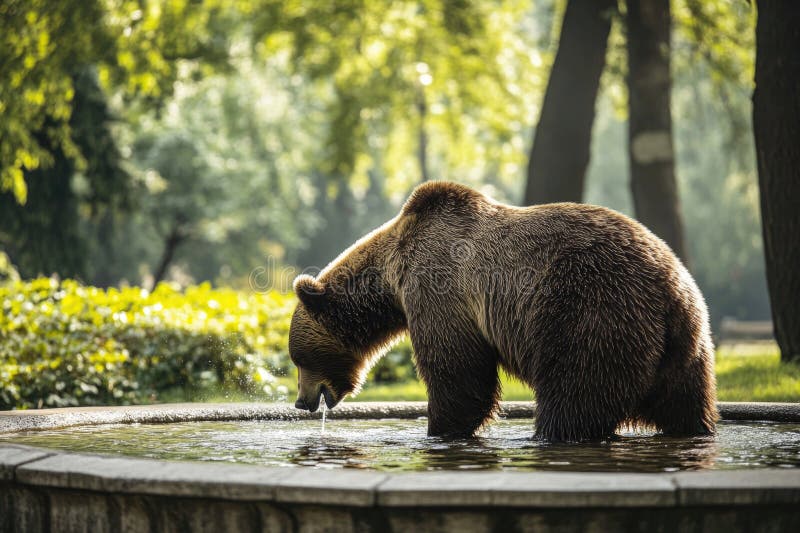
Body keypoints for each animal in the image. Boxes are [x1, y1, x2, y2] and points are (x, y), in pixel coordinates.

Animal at [289, 181, 718, 441]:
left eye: (299, 359)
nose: (301, 402)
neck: (391, 277)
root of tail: (672, 291)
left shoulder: (437, 287)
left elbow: (457, 371)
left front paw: (439, 428)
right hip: (685, 350)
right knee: (686, 404)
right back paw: (697, 428)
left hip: (591, 309)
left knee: (575, 393)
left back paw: (549, 433)